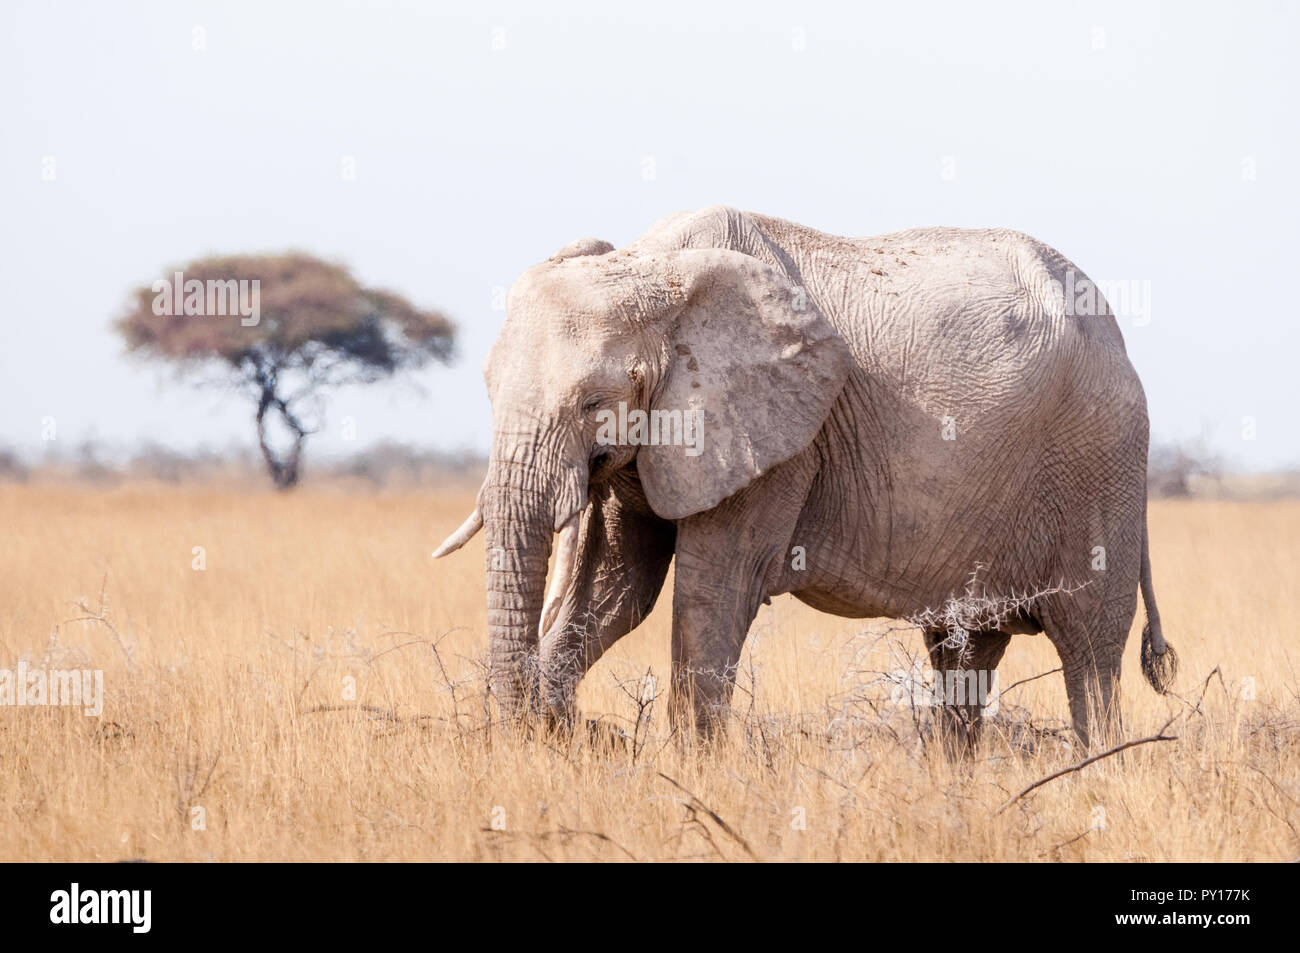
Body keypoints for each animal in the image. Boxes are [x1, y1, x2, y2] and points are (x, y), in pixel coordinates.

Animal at [434, 205, 1177, 749]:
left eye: (593, 402)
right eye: (487, 388)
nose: (542, 733)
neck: (653, 269)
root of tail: (1118, 335)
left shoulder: (780, 443)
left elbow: (712, 591)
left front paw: (686, 772)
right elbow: (620, 588)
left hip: (1101, 460)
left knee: (1090, 655)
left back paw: (1093, 774)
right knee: (966, 651)